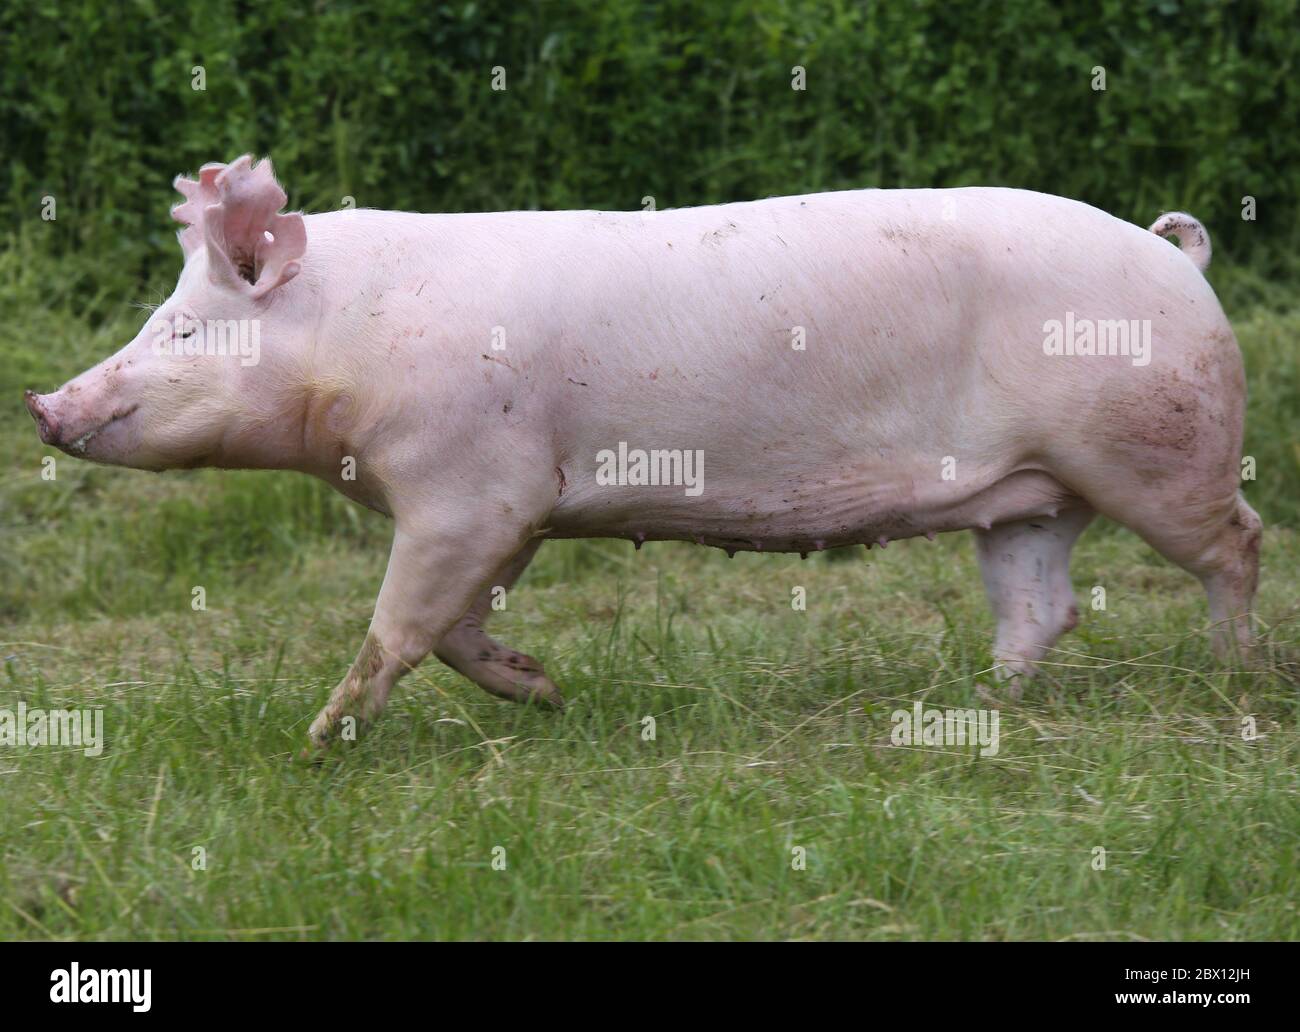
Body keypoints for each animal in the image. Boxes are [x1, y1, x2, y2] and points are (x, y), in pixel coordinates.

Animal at [25, 155, 1261, 751]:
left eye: (183, 331)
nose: (41, 403)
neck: (353, 346)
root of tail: (1178, 257)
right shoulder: (516, 504)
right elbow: (460, 627)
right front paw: (548, 691)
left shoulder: (471, 489)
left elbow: (400, 627)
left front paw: (317, 742)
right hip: (1032, 496)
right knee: (1043, 605)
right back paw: (966, 700)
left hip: (1157, 449)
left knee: (1237, 543)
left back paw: (1242, 677)